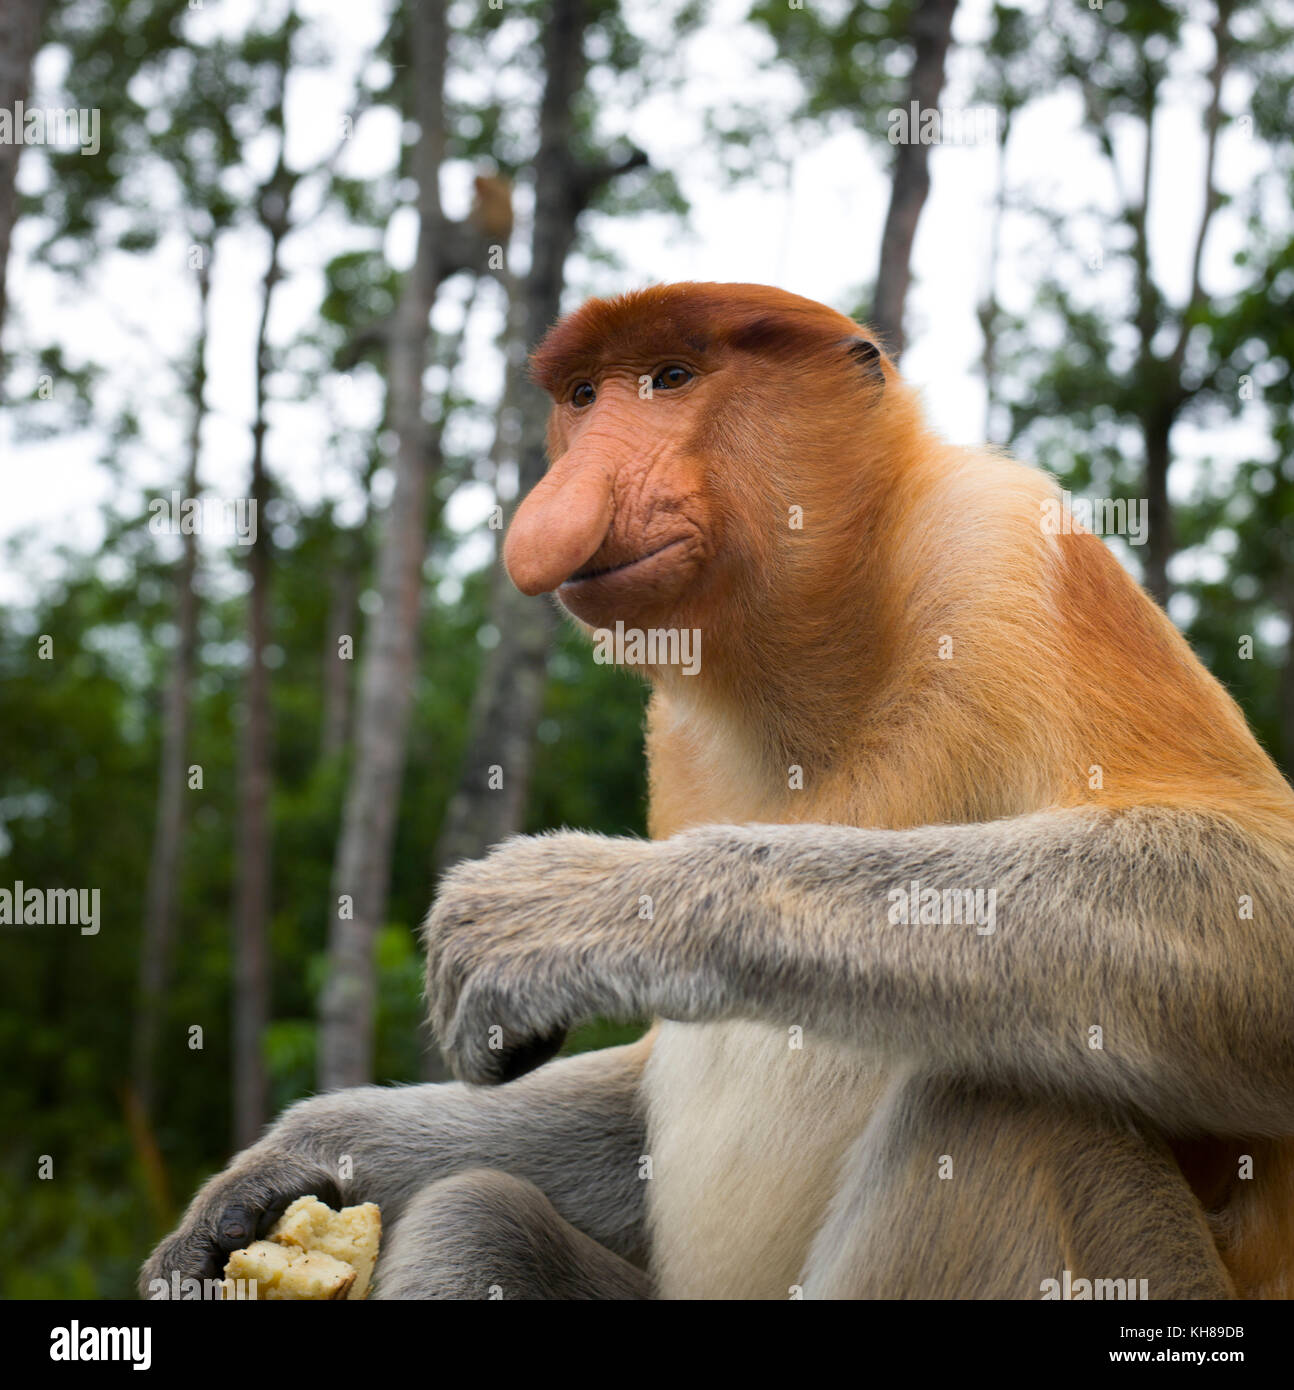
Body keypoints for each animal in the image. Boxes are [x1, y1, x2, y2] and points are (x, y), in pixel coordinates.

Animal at [142, 283, 1294, 1301]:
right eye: (584, 397)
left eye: (670, 377)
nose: (566, 497)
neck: (812, 687)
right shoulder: (678, 739)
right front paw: (276, 1172)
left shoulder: (1009, 549)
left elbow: (1254, 895)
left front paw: (555, 912)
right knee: (482, 1216)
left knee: (1005, 1102)